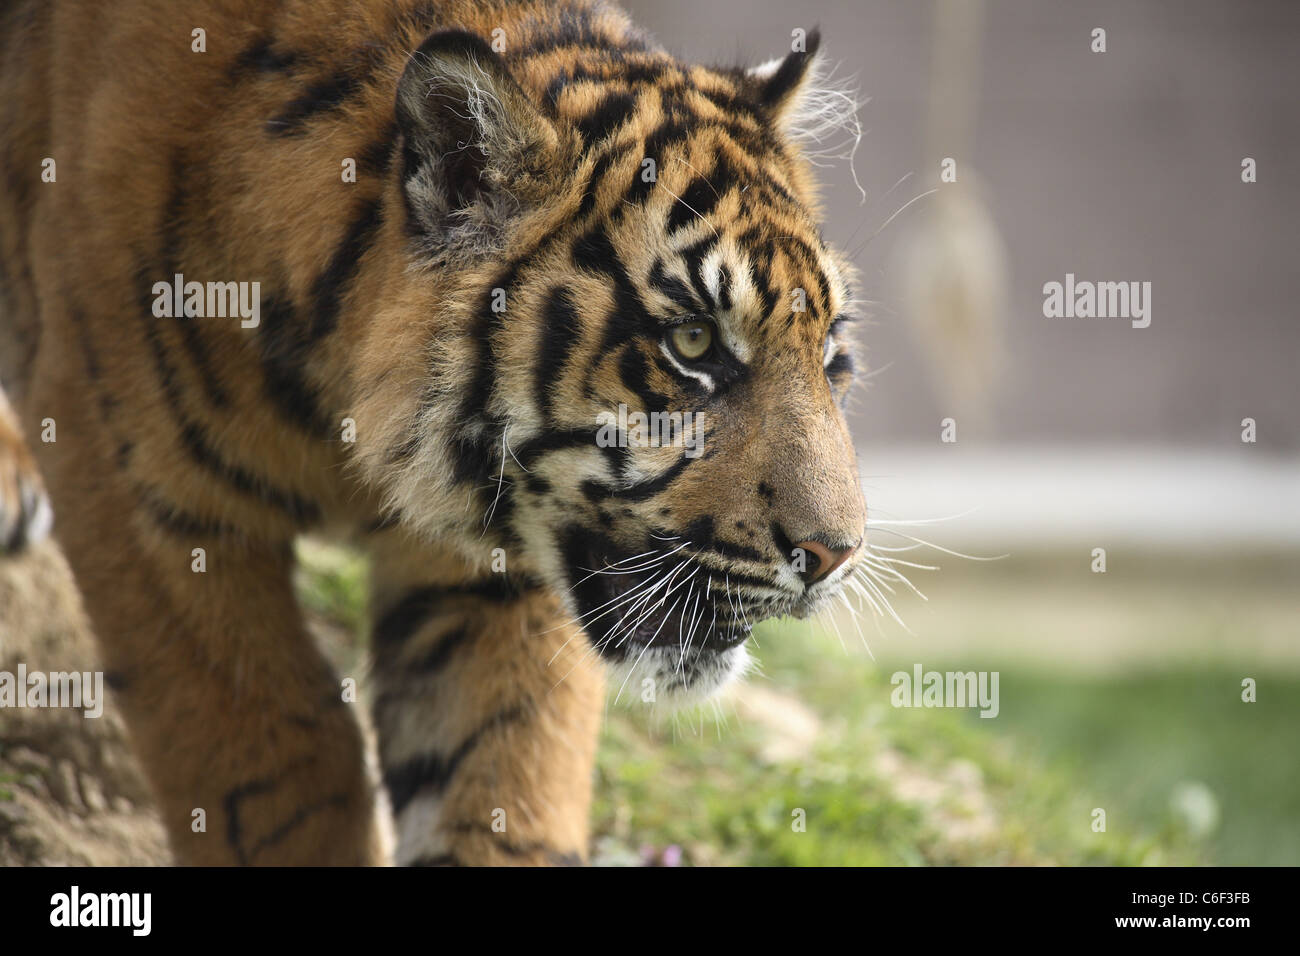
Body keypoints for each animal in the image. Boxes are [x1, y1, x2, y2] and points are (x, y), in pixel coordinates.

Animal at [0, 0, 868, 866]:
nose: (833, 556)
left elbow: (505, 781)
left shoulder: (499, 568)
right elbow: (276, 761)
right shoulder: (150, 502)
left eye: (830, 353)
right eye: (692, 342)